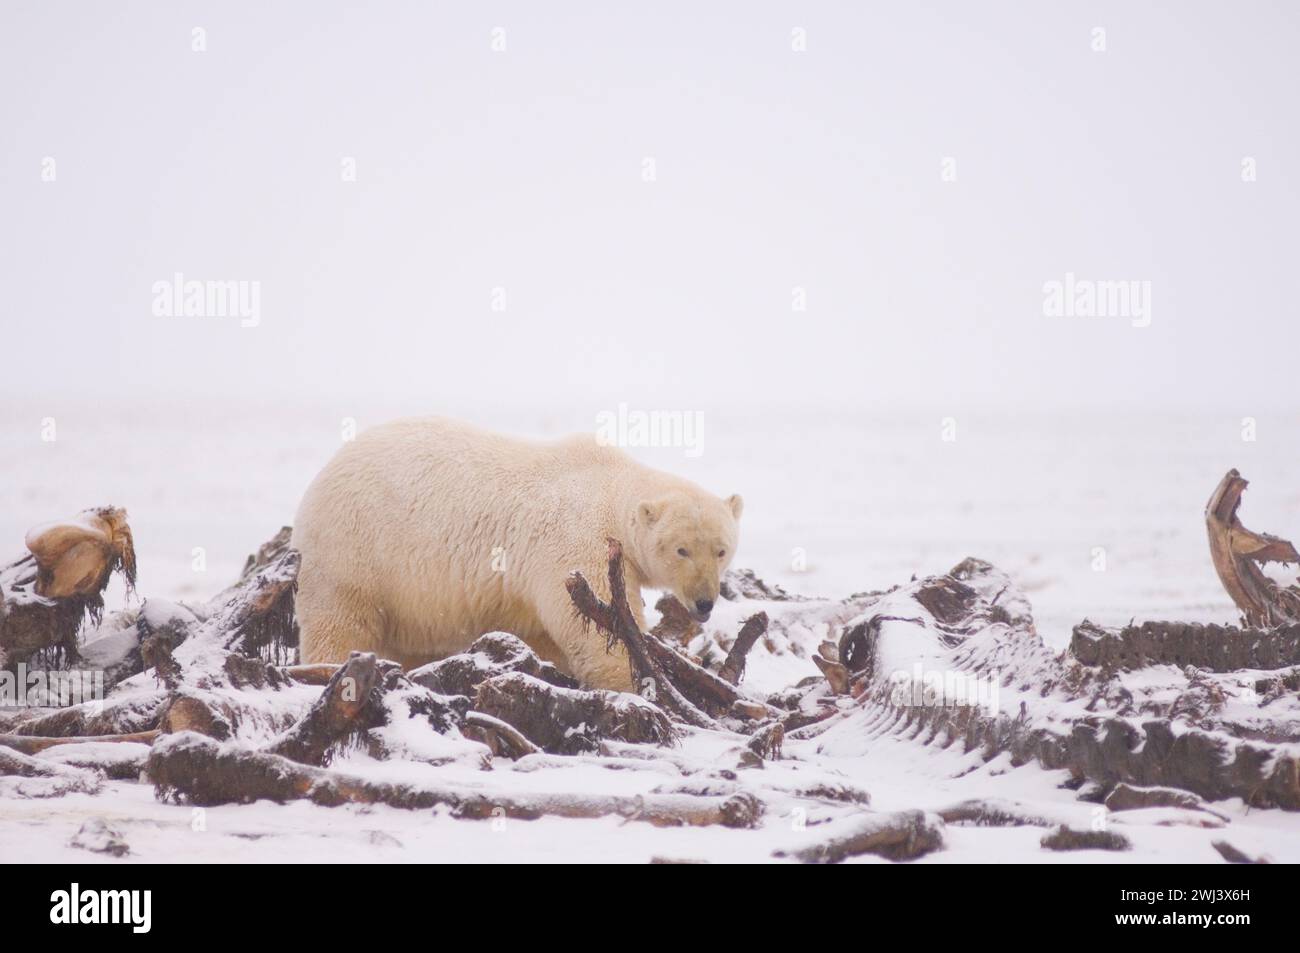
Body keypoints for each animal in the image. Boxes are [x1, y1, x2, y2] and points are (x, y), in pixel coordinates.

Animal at [290, 416, 743, 692]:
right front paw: (633, 680)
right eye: (682, 550)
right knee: (340, 621)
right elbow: (596, 626)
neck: (609, 488)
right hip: (354, 550)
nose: (704, 602)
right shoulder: (578, 543)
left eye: (721, 551)